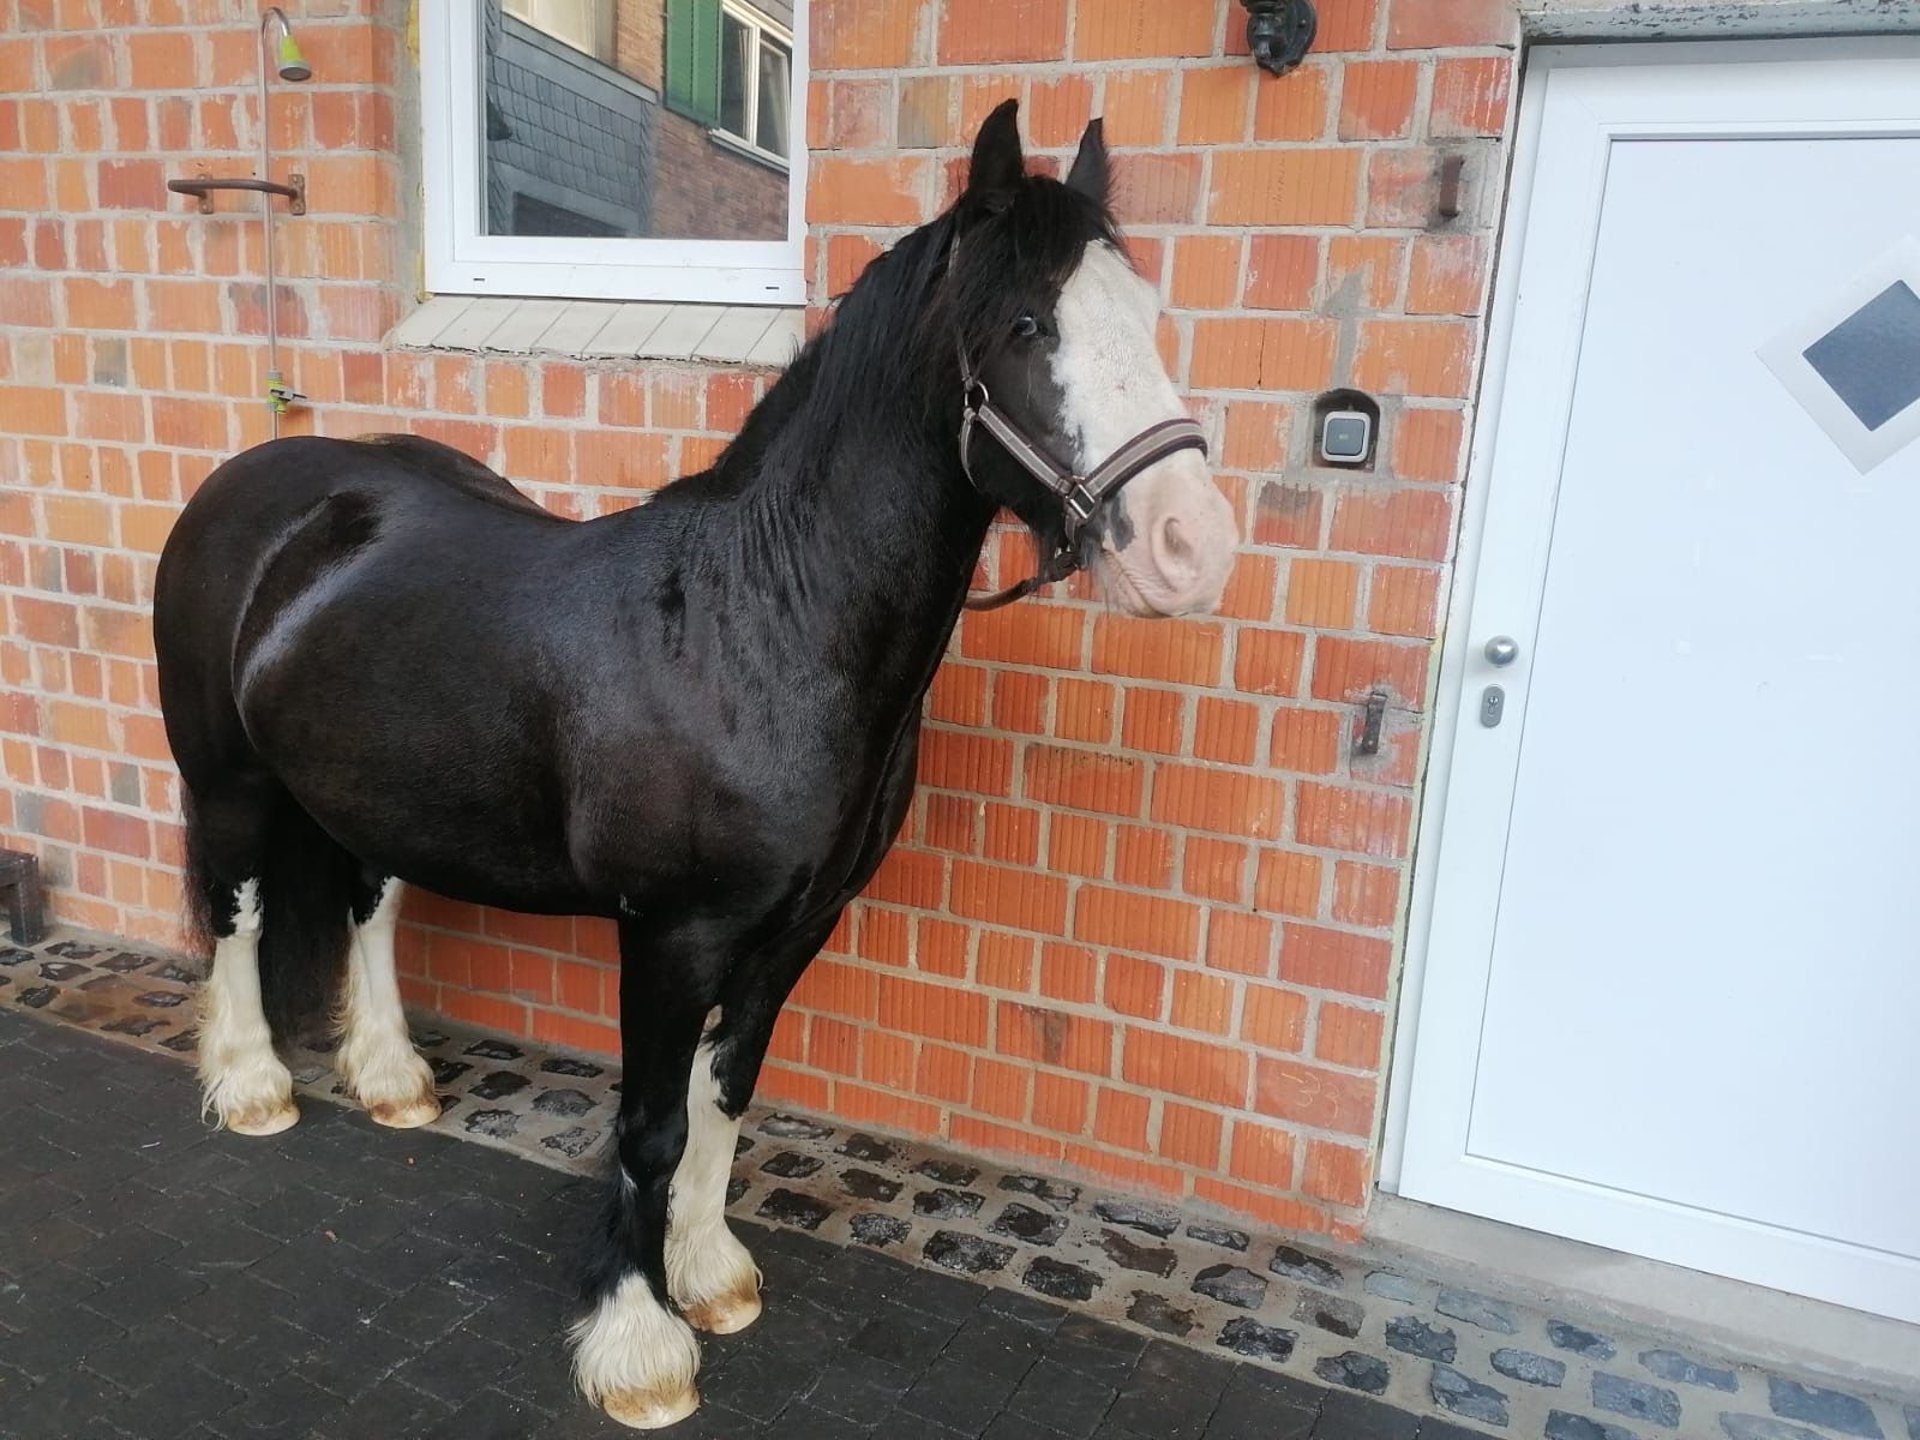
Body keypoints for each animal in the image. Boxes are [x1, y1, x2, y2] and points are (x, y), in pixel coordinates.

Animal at [152, 101, 1237, 1429]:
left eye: (1146, 314)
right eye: (1030, 325)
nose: (1192, 547)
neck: (760, 623)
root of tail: (255, 484)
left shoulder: (797, 929)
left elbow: (726, 1096)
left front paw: (708, 1273)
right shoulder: (670, 936)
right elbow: (651, 1127)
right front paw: (638, 1343)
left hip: (373, 787)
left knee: (367, 904)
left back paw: (392, 1075)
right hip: (228, 781)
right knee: (240, 915)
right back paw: (254, 1085)